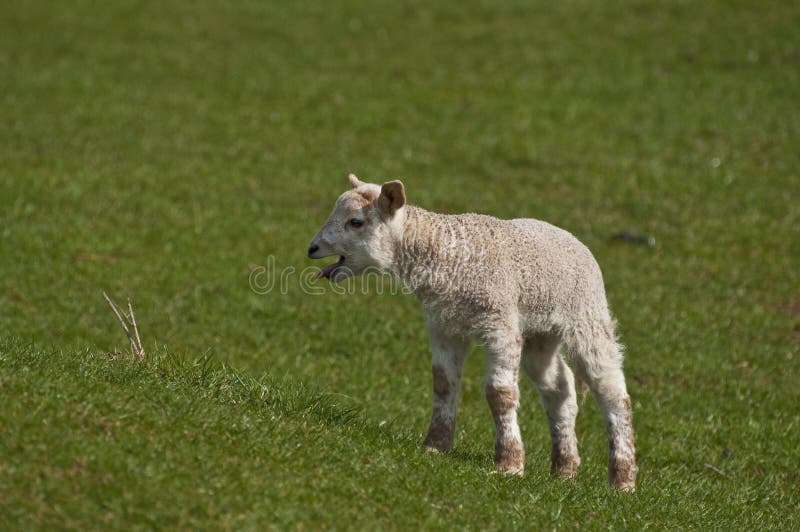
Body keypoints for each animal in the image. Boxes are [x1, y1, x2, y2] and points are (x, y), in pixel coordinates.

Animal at [308, 174, 637, 491]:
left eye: (356, 222)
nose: (312, 248)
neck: (443, 256)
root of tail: (574, 239)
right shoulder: (444, 327)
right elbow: (443, 384)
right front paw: (434, 447)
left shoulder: (500, 324)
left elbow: (500, 393)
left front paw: (509, 464)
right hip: (540, 335)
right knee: (560, 387)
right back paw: (565, 469)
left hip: (587, 317)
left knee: (611, 390)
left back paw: (622, 479)